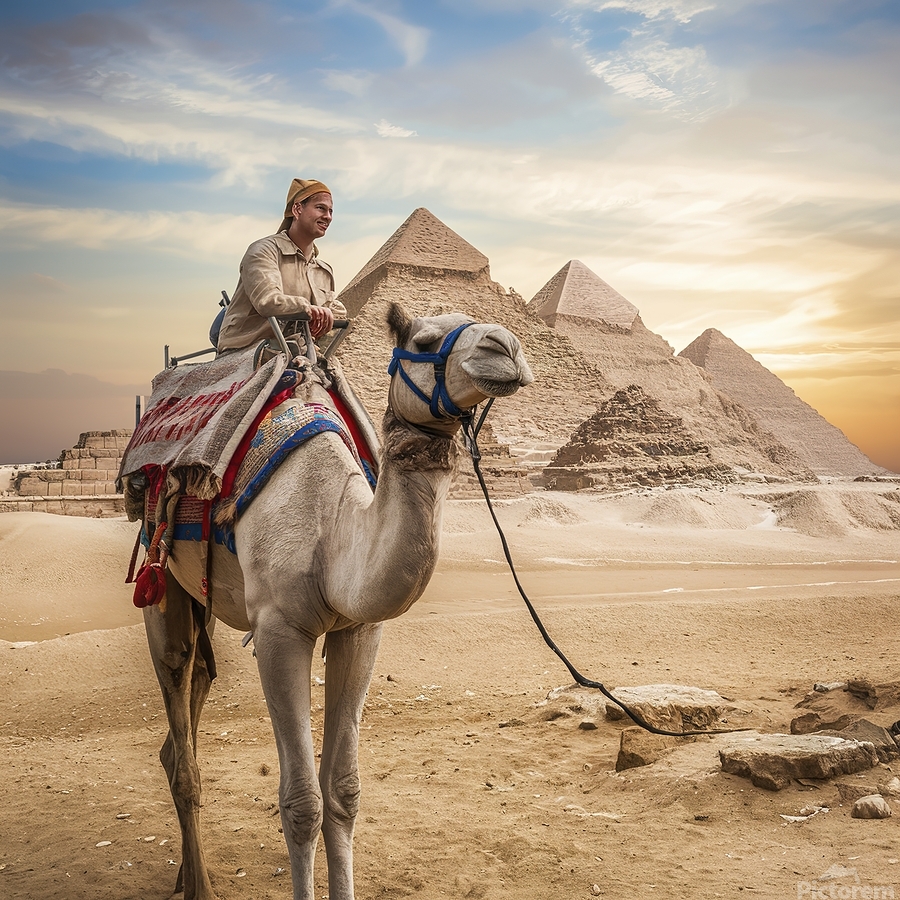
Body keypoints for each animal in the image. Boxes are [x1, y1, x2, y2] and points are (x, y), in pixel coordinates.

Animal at [142, 303, 534, 900]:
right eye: (423, 339)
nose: (506, 348)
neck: (332, 530)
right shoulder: (279, 631)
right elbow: (302, 802)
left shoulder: (360, 630)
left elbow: (344, 793)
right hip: (159, 576)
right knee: (179, 695)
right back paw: (200, 886)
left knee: (190, 708)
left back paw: (191, 871)